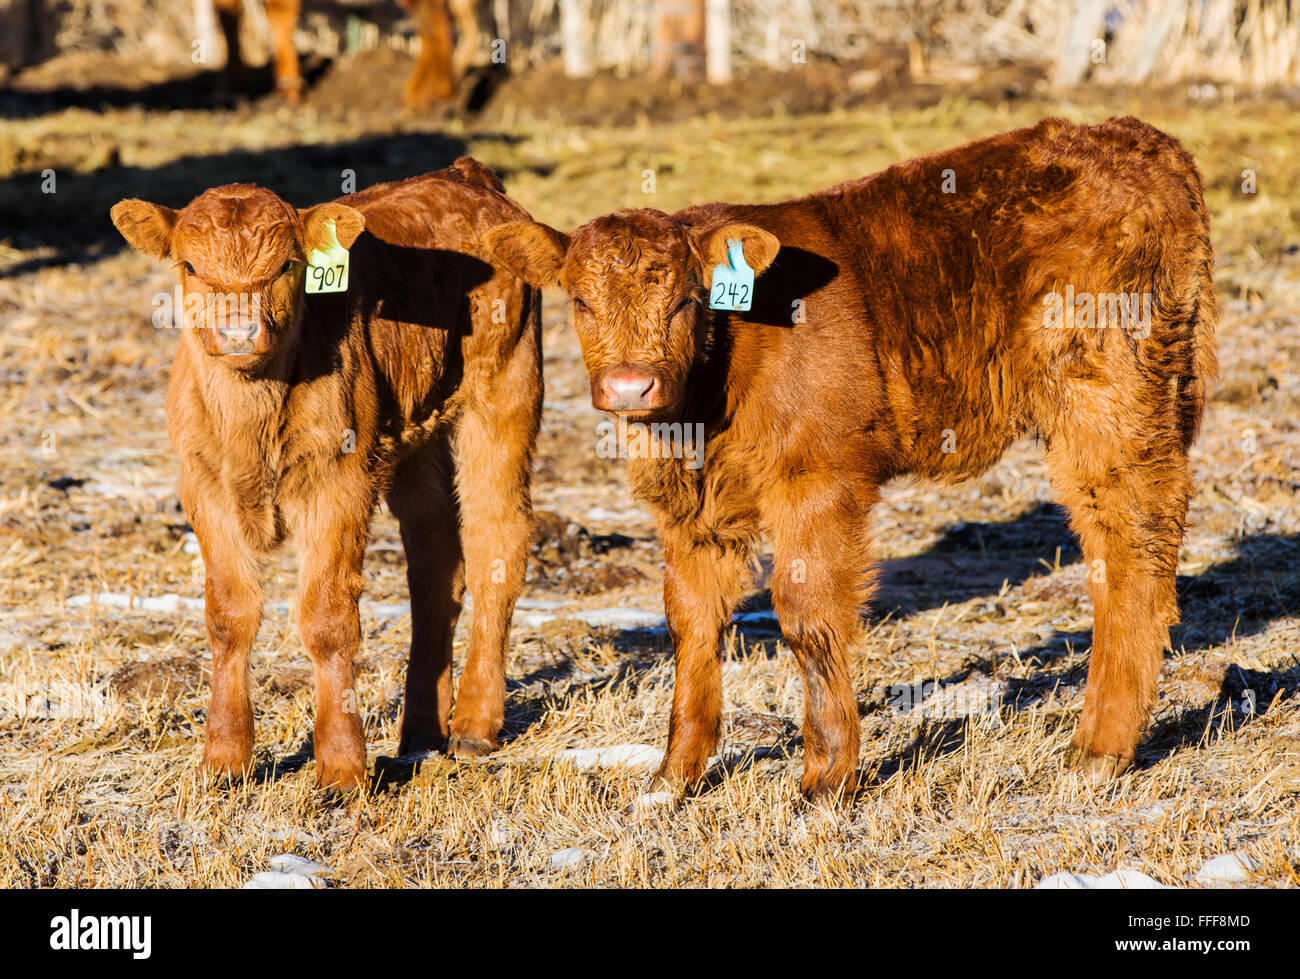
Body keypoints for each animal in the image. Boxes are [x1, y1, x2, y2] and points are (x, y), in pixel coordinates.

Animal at [110, 157, 542, 791]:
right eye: (190, 266)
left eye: (288, 265)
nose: (238, 332)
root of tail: (468, 177)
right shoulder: (202, 485)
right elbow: (229, 615)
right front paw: (225, 760)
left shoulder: (340, 484)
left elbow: (327, 619)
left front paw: (341, 767)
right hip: (415, 431)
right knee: (436, 560)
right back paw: (420, 730)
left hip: (504, 395)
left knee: (496, 538)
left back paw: (472, 726)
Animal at [212, 0, 480, 108]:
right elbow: (227, 13)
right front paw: (232, 86)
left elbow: (278, 14)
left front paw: (289, 88)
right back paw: (441, 91)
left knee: (436, 22)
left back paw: (423, 95)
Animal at [482, 116, 1218, 804]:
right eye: (580, 300)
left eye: (688, 299)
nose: (631, 385)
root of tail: (1132, 137)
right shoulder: (693, 511)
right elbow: (691, 624)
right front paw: (674, 776)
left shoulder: (818, 479)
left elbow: (807, 616)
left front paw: (826, 777)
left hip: (1107, 394)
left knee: (1133, 540)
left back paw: (1098, 752)